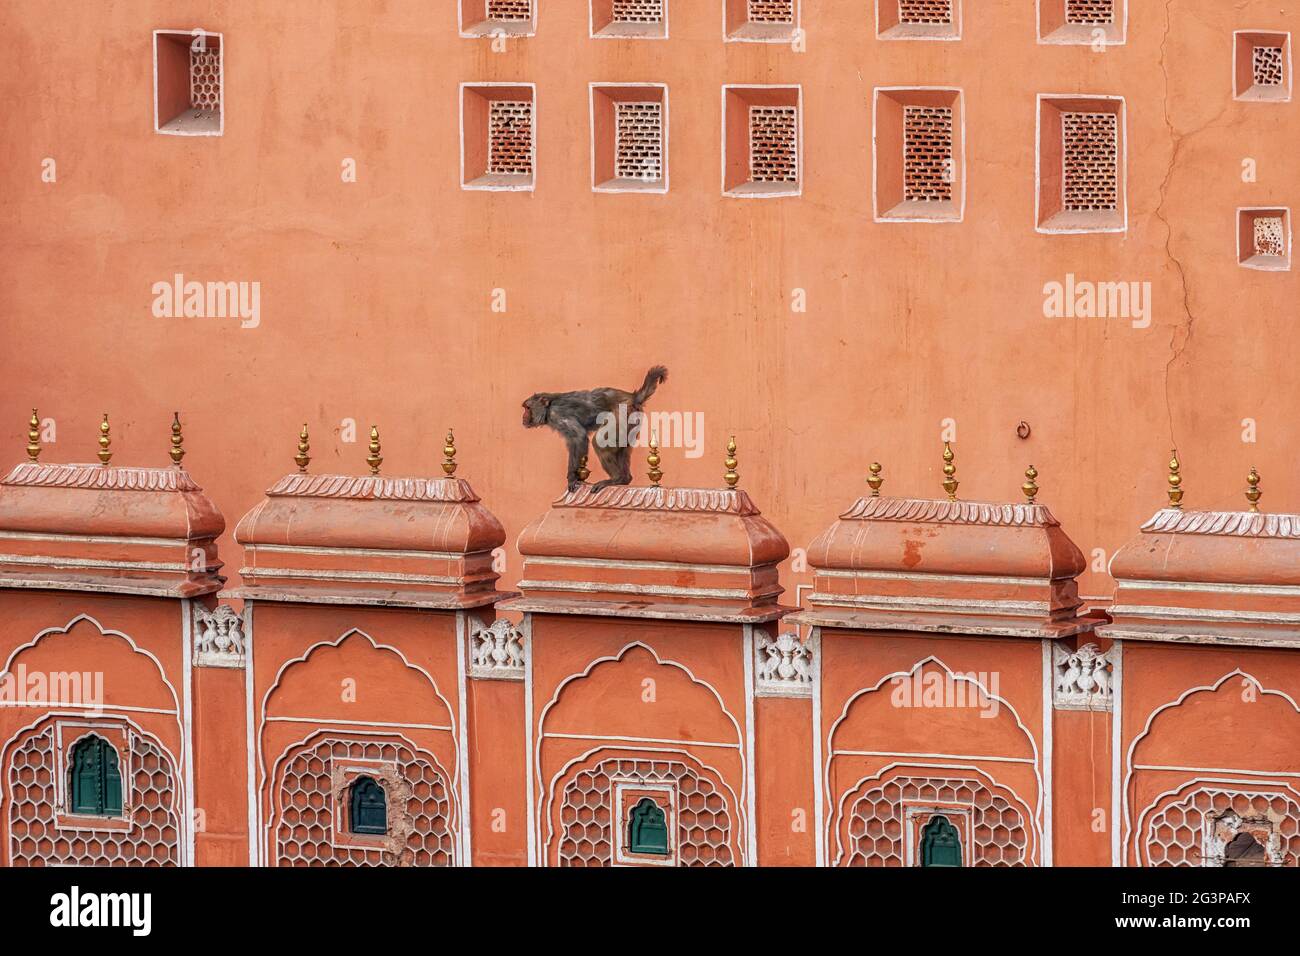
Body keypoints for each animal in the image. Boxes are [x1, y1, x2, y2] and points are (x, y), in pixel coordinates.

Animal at [522, 366, 668, 492]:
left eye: (528, 408)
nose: (523, 417)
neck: (548, 408)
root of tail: (632, 397)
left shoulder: (557, 414)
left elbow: (579, 437)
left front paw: (572, 478)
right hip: (632, 419)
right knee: (623, 447)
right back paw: (625, 479)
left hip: (622, 412)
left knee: (600, 442)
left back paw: (616, 479)